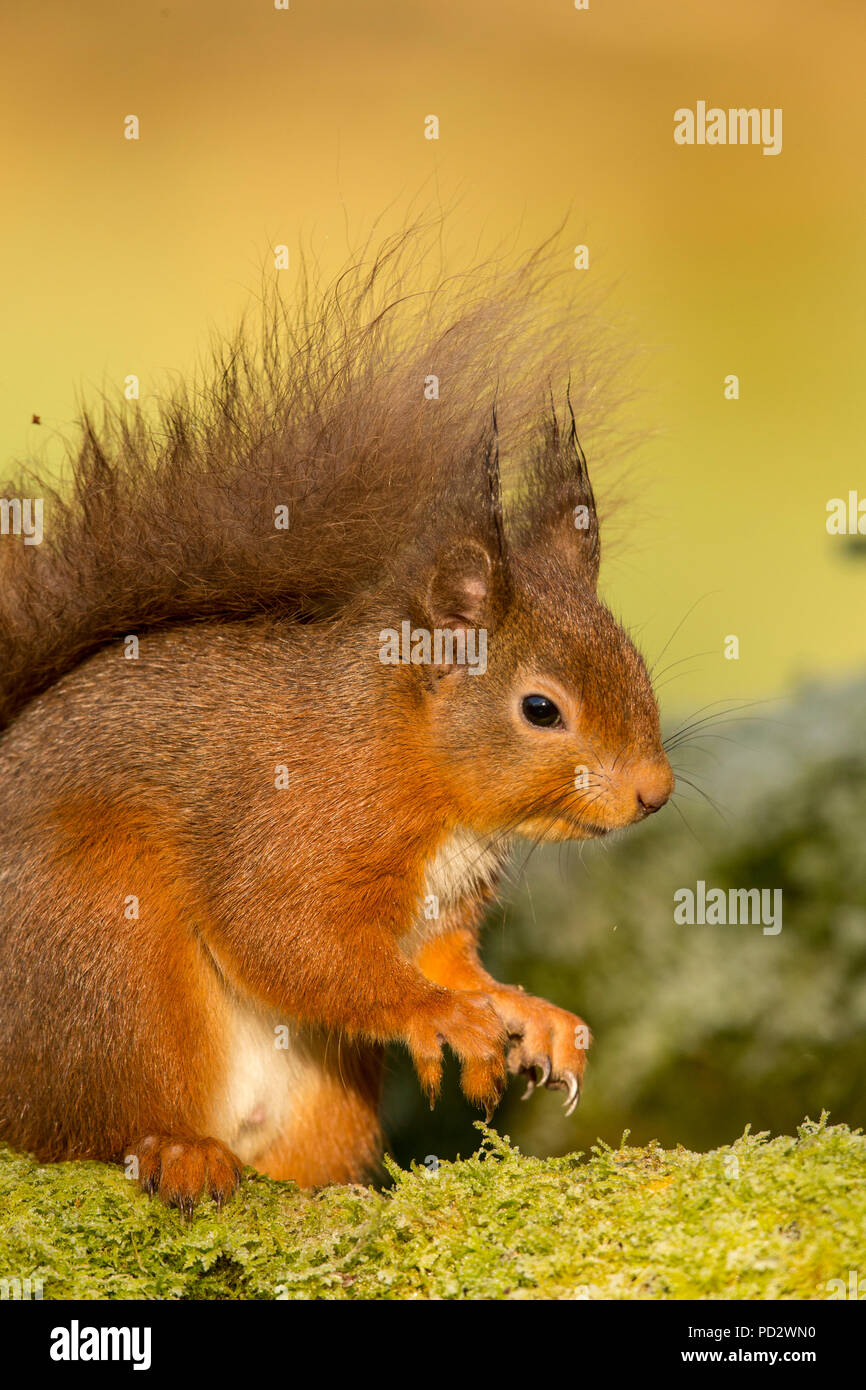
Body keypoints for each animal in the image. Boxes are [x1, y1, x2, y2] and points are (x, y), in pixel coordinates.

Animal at [0, 229, 674, 1210]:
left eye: (639, 665)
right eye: (541, 709)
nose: (656, 793)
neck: (419, 772)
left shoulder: (432, 909)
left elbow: (445, 961)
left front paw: (527, 1014)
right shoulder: (295, 825)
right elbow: (287, 937)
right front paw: (442, 1016)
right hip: (101, 960)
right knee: (85, 1129)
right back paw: (178, 1149)